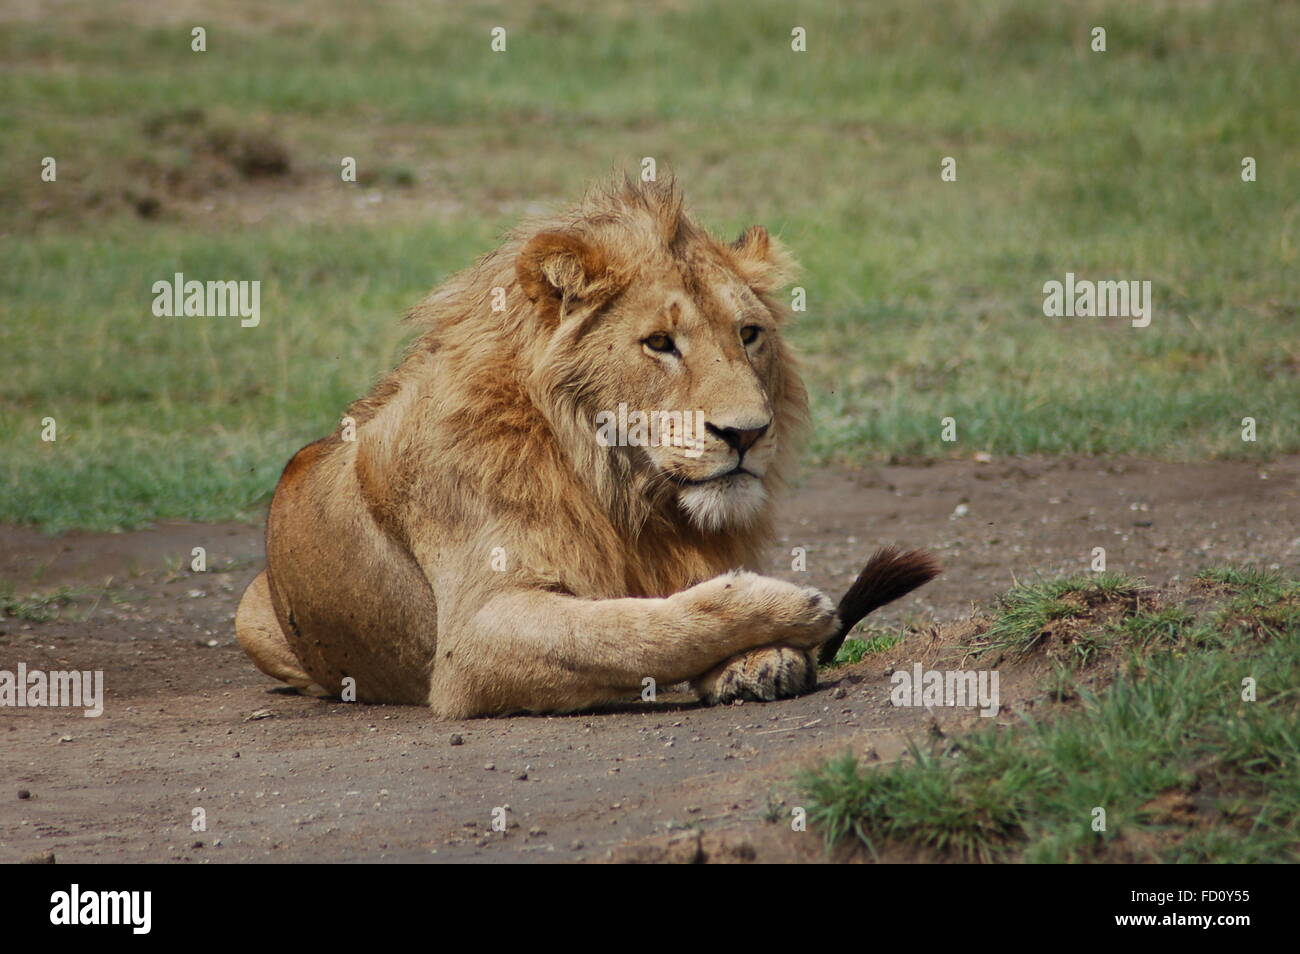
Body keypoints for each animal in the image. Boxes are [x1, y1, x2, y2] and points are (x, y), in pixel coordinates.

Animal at [236, 176, 877, 718]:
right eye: (659, 343)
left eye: (749, 334)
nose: (746, 433)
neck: (622, 489)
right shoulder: (474, 639)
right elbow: (636, 632)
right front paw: (790, 610)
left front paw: (760, 659)